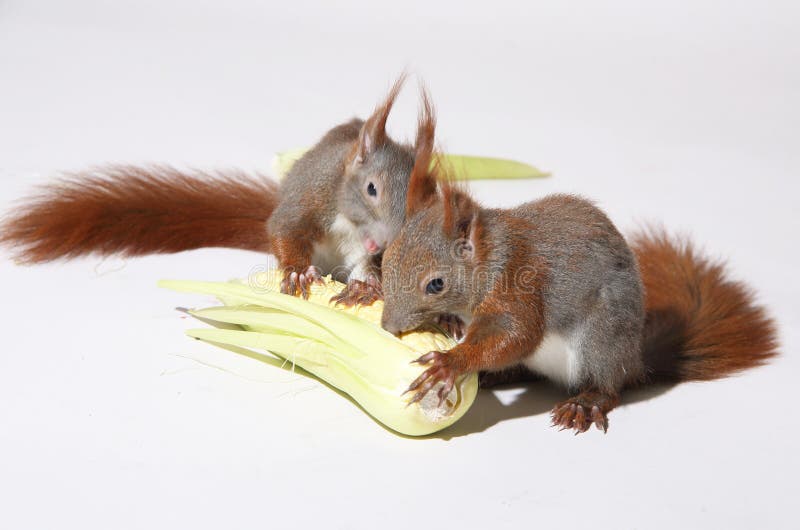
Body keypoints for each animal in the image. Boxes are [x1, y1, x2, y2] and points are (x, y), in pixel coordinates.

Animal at [0, 74, 434, 306]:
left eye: (416, 208)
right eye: (371, 189)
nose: (382, 243)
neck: (351, 224)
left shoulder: (363, 248)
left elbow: (365, 265)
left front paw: (368, 284)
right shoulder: (312, 197)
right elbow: (284, 229)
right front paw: (296, 272)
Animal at [379, 137, 778, 434]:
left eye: (436, 284)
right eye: (385, 261)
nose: (388, 326)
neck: (491, 262)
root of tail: (635, 361)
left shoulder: (518, 288)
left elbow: (518, 335)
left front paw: (449, 362)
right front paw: (449, 327)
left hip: (600, 342)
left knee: (609, 388)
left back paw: (585, 403)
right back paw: (501, 375)